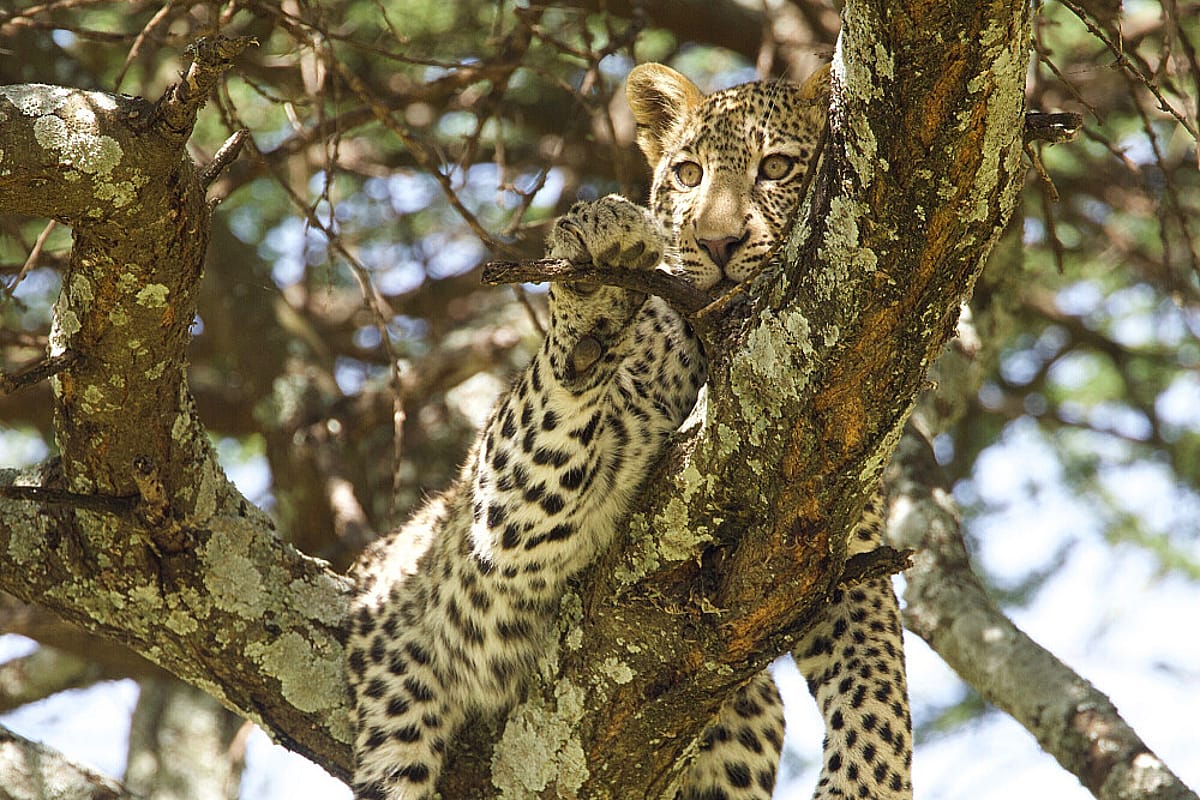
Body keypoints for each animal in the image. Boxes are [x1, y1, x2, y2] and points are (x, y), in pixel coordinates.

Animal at [346, 62, 912, 800]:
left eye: (777, 167)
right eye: (689, 175)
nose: (717, 244)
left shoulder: (843, 544)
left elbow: (878, 683)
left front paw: (866, 783)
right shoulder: (505, 526)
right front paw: (599, 270)